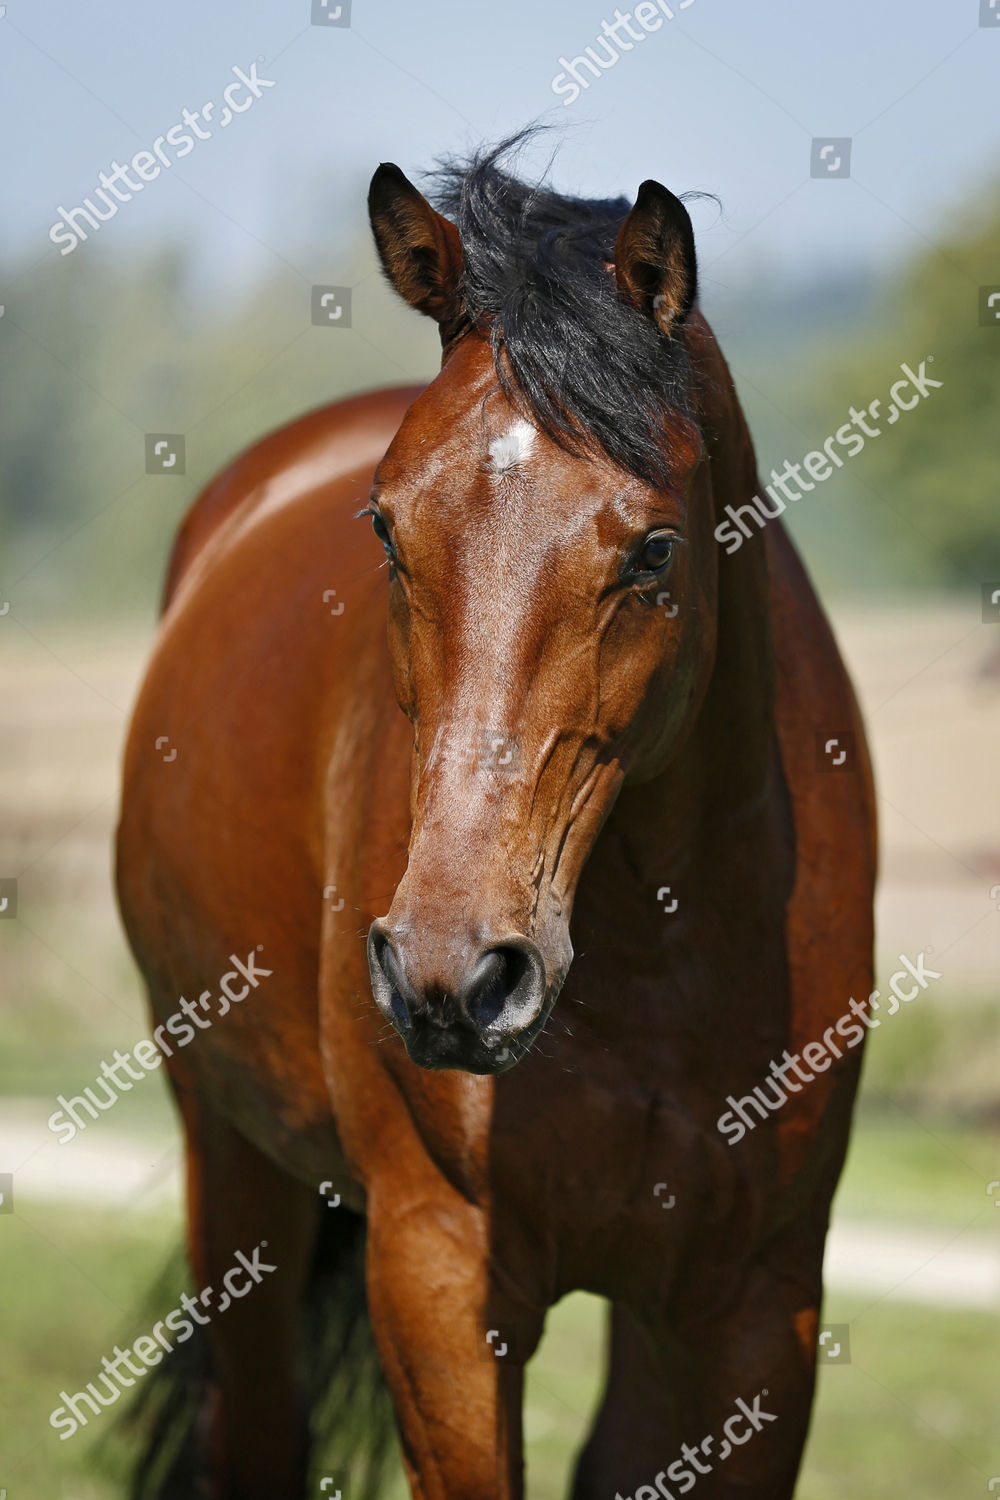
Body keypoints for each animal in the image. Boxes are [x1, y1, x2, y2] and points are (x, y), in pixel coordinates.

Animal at [115, 137, 876, 1500]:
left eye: (654, 550)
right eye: (385, 527)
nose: (449, 978)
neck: (665, 955)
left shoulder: (752, 1310)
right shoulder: (441, 1272)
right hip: (229, 1155)